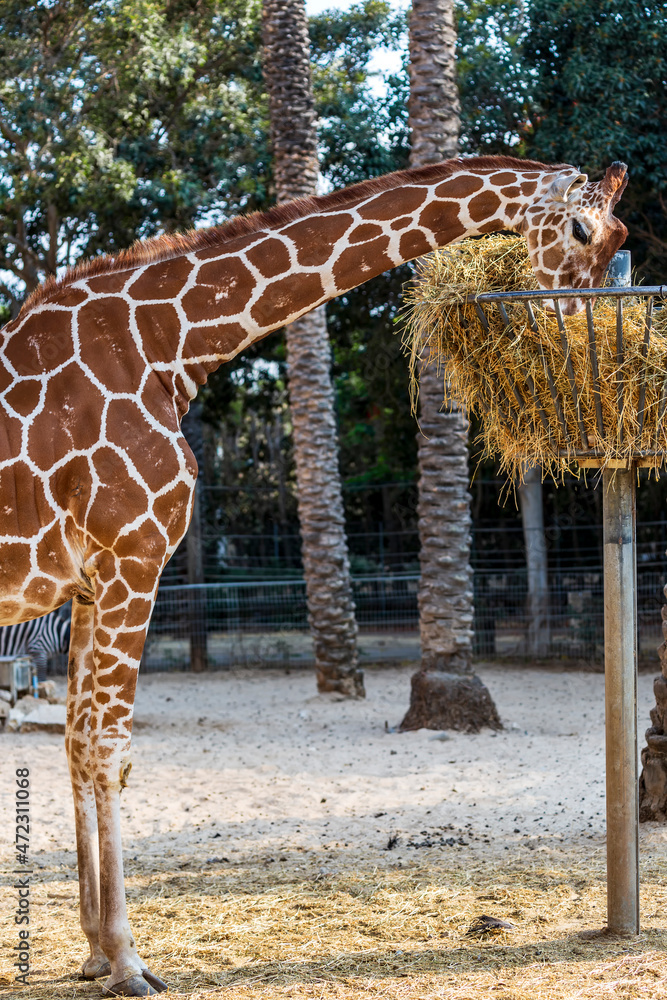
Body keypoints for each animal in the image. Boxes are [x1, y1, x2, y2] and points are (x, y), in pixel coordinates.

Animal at [1, 155, 627, 996]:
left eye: (620, 241)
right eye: (582, 230)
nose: (582, 328)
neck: (167, 344)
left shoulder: (92, 584)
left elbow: (76, 743)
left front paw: (96, 950)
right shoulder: (133, 556)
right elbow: (110, 748)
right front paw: (130, 960)